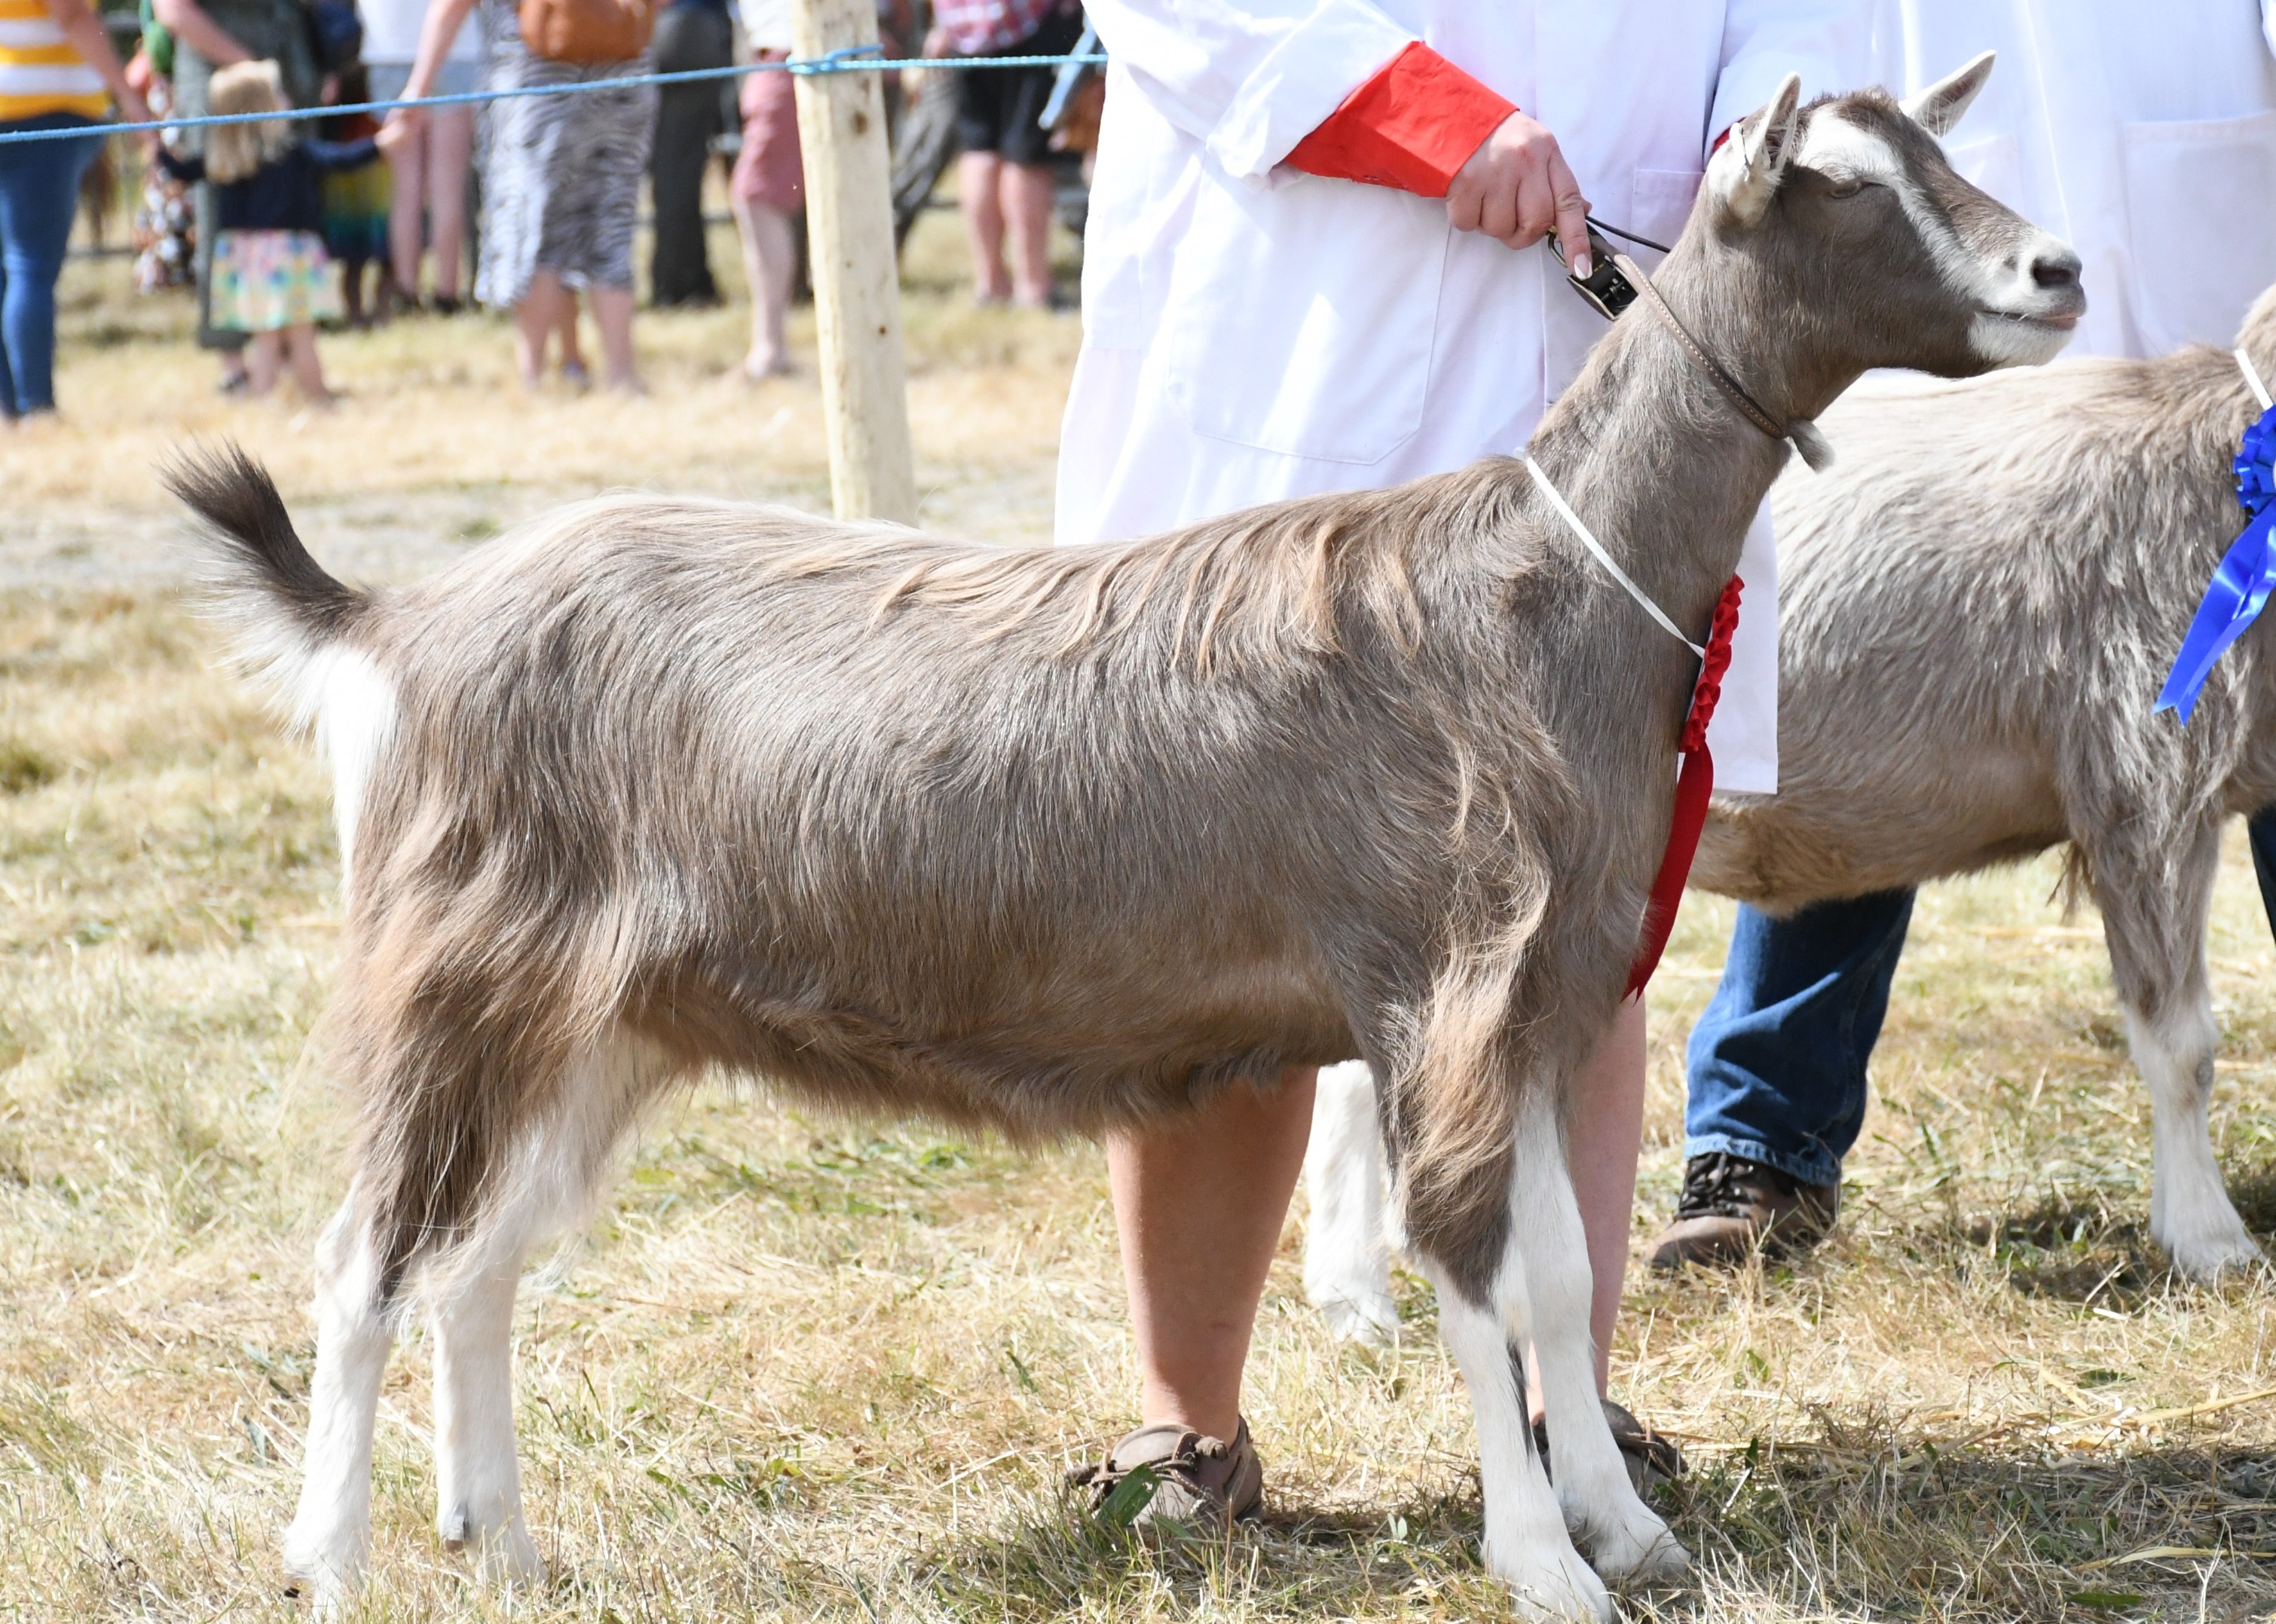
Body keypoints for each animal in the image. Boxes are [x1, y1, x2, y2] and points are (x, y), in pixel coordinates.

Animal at [178, 62, 2077, 1621]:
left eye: (1937, 151)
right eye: (1838, 181)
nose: (2054, 272)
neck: (1533, 588)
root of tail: (401, 619)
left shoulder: (1545, 995)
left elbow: (1552, 1272)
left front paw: (1628, 1530)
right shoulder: (1442, 990)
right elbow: (1467, 1263)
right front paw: (1543, 1564)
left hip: (611, 1018)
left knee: (478, 1262)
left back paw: (498, 1538)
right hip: (462, 972)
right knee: (367, 1257)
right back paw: (327, 1556)